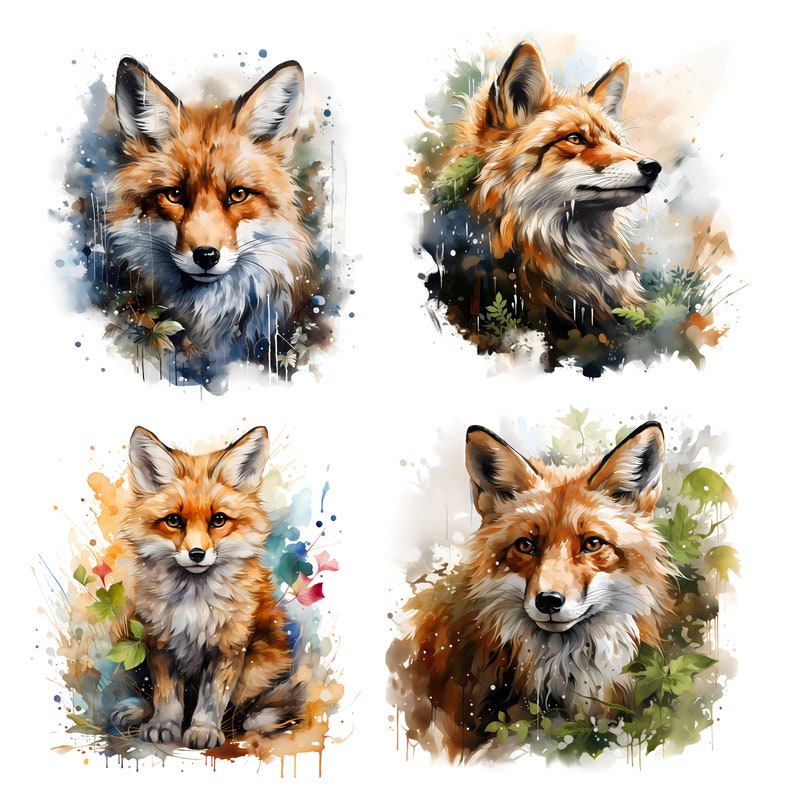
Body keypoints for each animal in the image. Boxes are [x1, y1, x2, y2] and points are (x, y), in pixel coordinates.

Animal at [108, 426, 307, 750]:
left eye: (218, 520)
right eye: (174, 520)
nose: (197, 554)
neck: (194, 603)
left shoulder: (229, 646)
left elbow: (212, 698)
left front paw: (203, 730)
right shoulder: (160, 642)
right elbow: (166, 695)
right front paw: (163, 724)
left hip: (260, 664)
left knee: (245, 712)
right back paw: (139, 711)